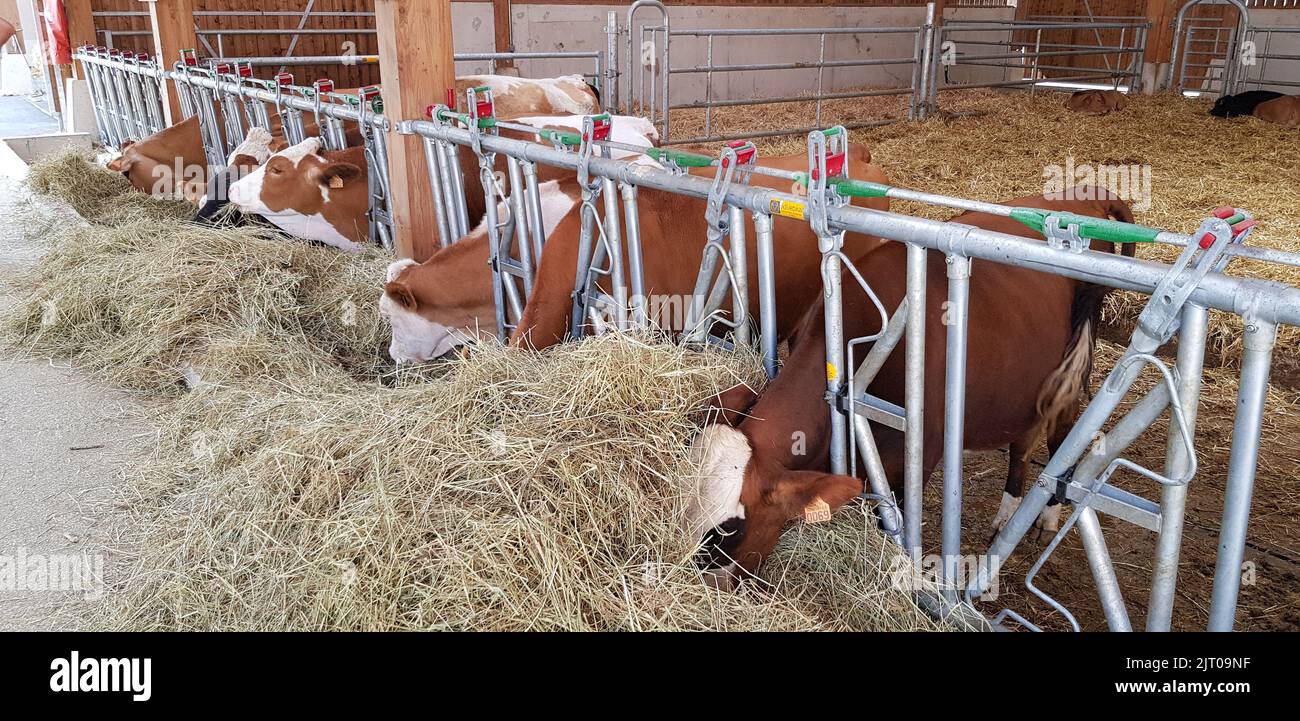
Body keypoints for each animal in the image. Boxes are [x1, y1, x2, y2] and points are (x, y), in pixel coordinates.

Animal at [685, 190, 1136, 587]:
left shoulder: (919, 455)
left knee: (1063, 432)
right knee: (1023, 440)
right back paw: (1007, 514)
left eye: (728, 532)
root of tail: (1085, 199)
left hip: (1075, 358)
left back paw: (1046, 517)